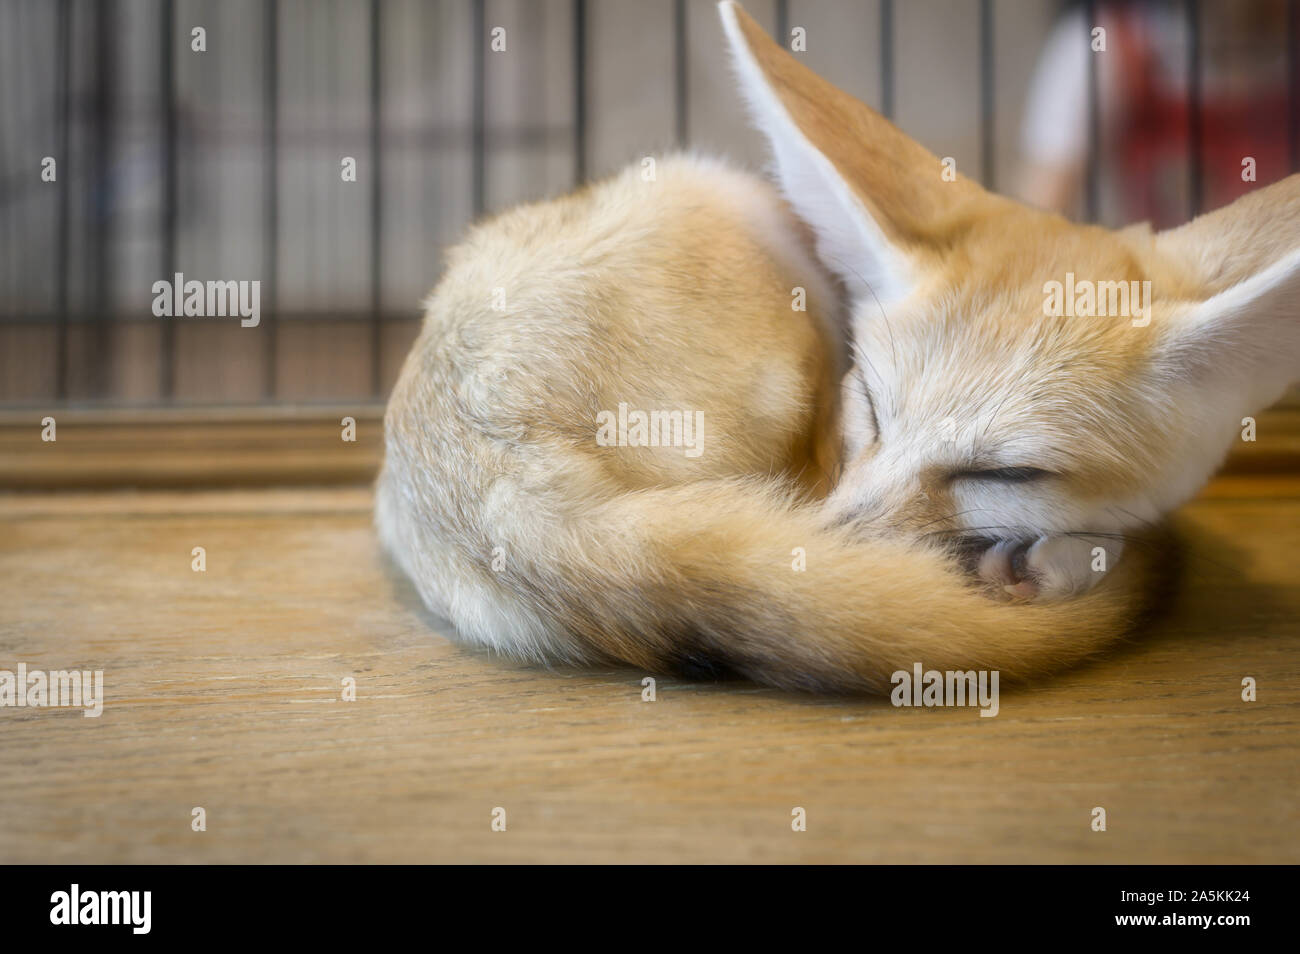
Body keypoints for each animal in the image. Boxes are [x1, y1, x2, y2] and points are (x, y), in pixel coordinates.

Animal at [374, 2, 1300, 693]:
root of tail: (490, 470)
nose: (825, 538)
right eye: (874, 409)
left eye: (1009, 473)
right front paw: (1064, 562)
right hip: (722, 188)